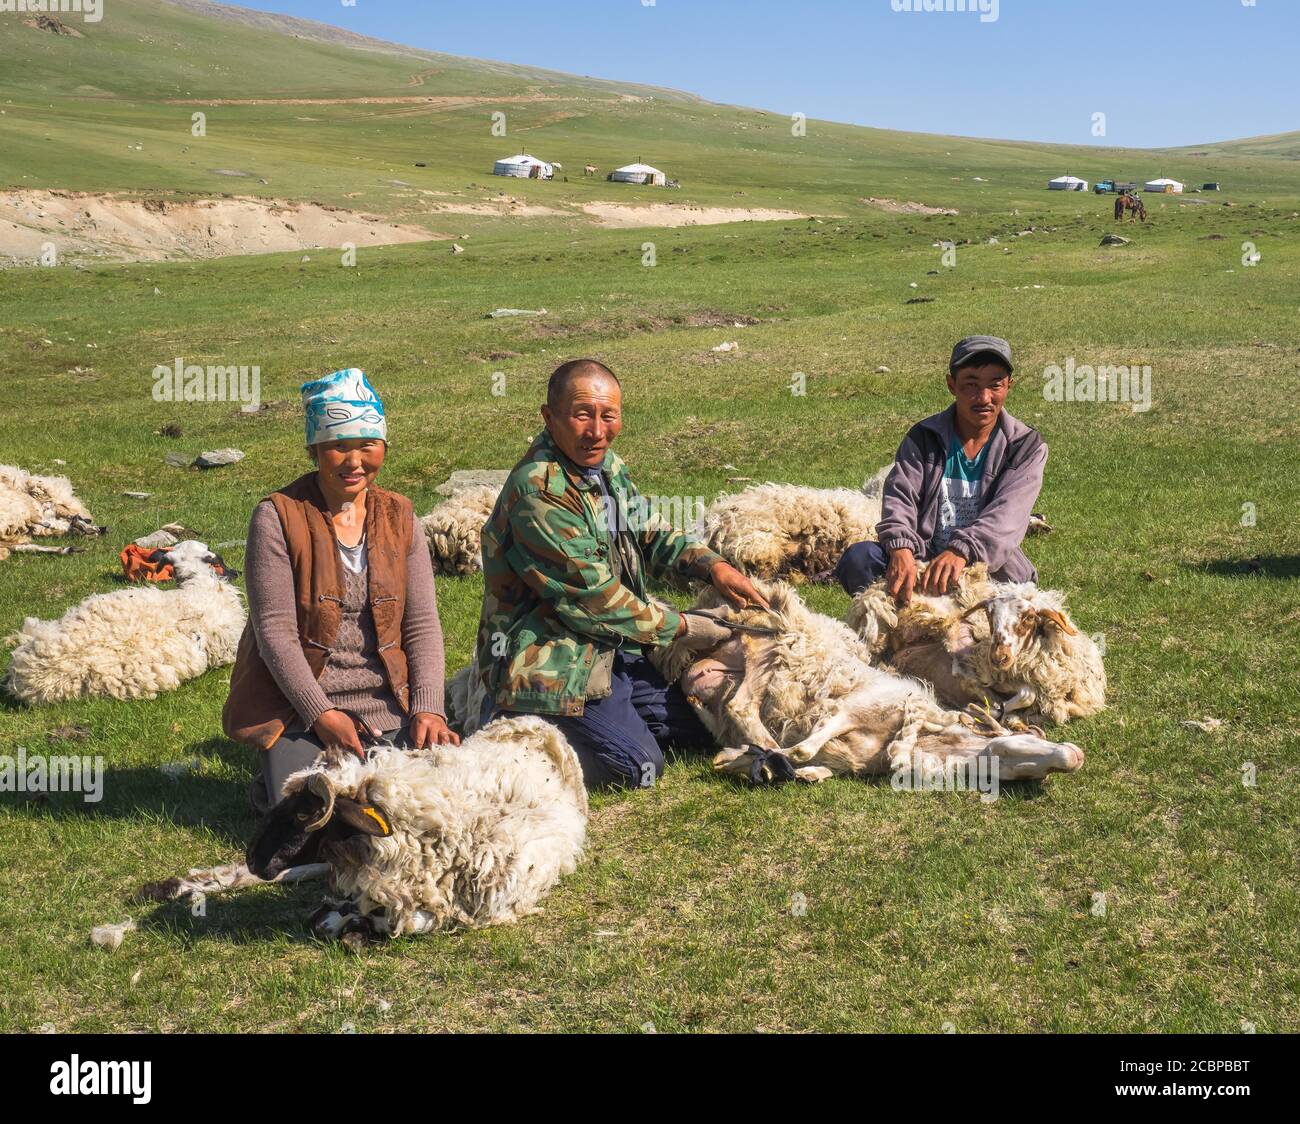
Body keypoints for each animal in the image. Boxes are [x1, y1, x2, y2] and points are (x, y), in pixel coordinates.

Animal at [140, 715, 587, 948]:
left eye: (303, 813)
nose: (253, 857)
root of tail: (543, 727)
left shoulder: (474, 906)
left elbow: (401, 922)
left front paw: (346, 924)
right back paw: (169, 887)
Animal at [650, 579, 1085, 787]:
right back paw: (770, 745)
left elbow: (802, 764)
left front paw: (773, 767)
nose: (1073, 755)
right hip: (768, 643)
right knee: (742, 705)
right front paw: (787, 757)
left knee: (716, 703)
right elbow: (814, 740)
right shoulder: (862, 704)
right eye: (1030, 740)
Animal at [845, 564, 1106, 726]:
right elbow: (1020, 694)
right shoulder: (980, 669)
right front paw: (995, 708)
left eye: (1029, 618)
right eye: (990, 616)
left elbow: (1026, 697)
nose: (999, 657)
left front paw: (1007, 715)